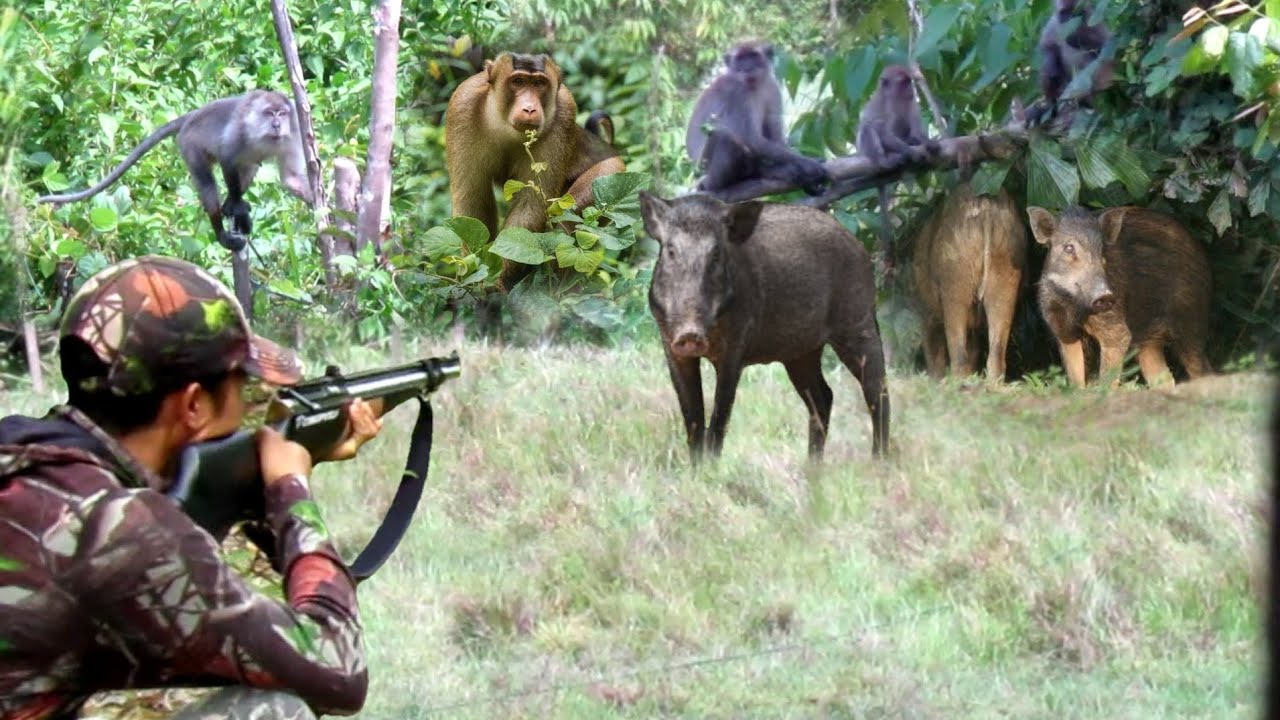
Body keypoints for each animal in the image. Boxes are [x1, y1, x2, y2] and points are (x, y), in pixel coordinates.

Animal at [638, 191, 889, 460]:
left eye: (716, 254)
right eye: (670, 251)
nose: (690, 333)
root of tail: (859, 246)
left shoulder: (735, 348)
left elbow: (718, 421)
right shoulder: (670, 346)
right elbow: (693, 421)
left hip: (858, 322)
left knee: (877, 390)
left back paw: (878, 462)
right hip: (801, 352)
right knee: (824, 396)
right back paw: (811, 467)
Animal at [909, 182, 1027, 382]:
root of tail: (986, 205)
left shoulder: (928, 315)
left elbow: (935, 358)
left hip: (955, 293)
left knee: (958, 357)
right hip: (1004, 284)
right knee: (995, 356)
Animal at [1026, 205, 1213, 388]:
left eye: (1102, 250)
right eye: (1068, 248)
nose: (1105, 296)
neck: (1074, 306)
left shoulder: (1116, 330)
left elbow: (1107, 380)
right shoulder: (1063, 332)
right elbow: (1076, 381)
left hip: (1191, 323)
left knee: (1203, 371)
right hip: (1149, 341)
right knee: (1163, 377)